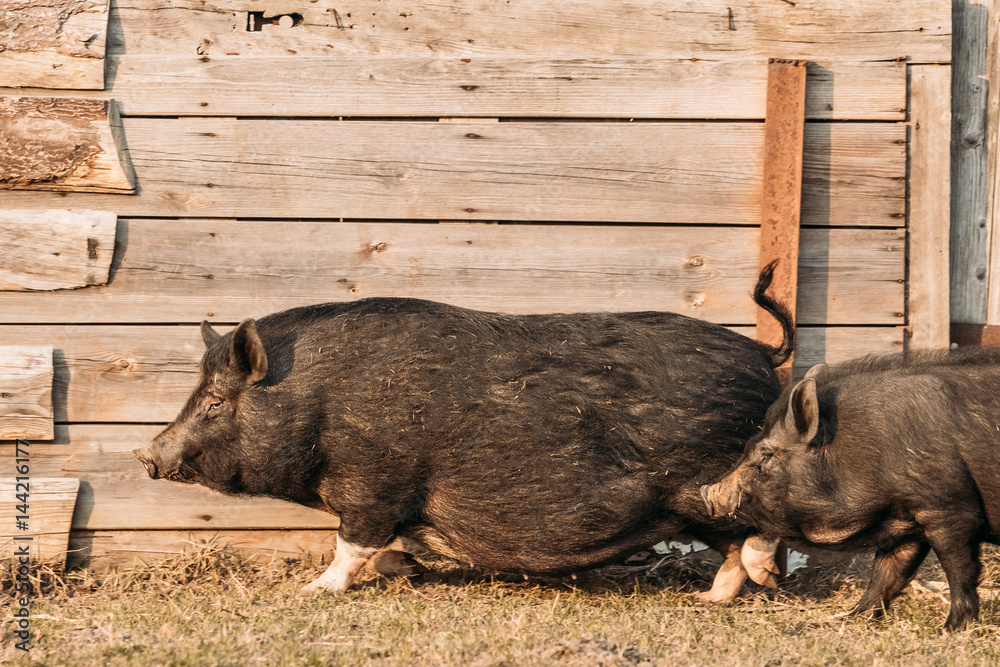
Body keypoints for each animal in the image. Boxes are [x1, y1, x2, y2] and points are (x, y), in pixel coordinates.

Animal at [133, 262, 793, 599]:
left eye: (214, 402)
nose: (145, 454)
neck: (315, 404)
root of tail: (764, 356)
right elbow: (383, 551)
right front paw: (408, 570)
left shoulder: (375, 485)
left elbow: (353, 545)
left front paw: (312, 592)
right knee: (731, 547)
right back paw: (710, 598)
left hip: (710, 484)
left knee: (758, 526)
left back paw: (756, 581)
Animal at [702, 349, 1000, 630]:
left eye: (765, 457)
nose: (707, 493)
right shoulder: (905, 520)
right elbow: (889, 572)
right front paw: (851, 619)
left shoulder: (949, 509)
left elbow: (960, 568)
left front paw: (951, 629)